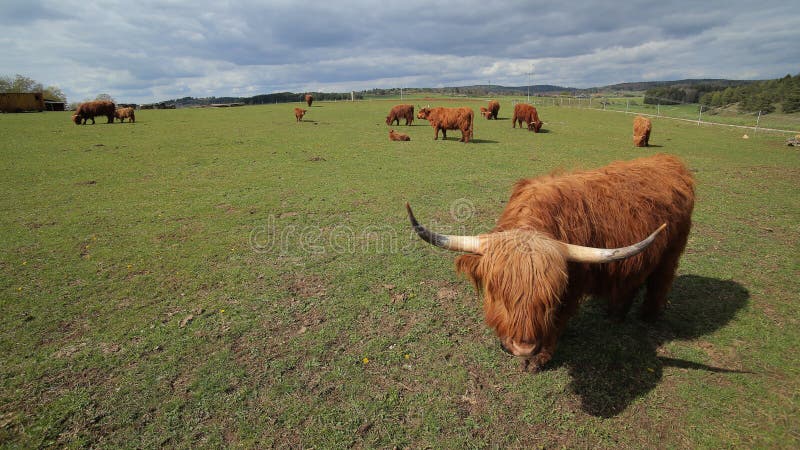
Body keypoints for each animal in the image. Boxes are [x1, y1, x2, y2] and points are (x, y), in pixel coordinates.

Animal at [407, 154, 695, 372]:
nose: (522, 347)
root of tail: (669, 160)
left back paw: (648, 317)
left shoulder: (571, 289)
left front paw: (538, 359)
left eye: (549, 298)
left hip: (671, 252)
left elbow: (556, 324)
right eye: (498, 293)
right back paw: (615, 315)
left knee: (660, 282)